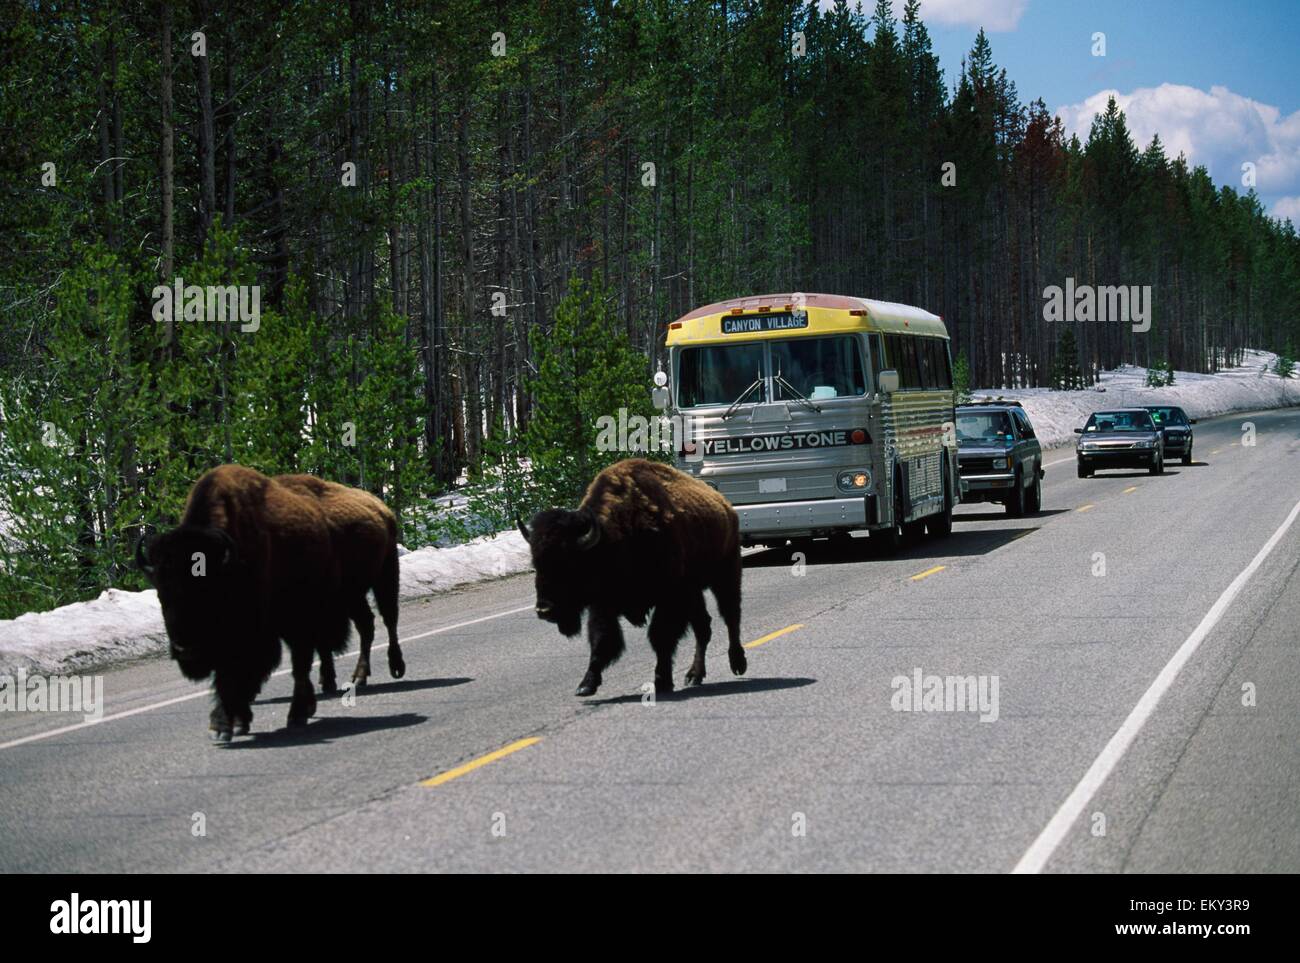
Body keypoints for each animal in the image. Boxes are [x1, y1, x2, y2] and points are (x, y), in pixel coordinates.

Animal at [136, 465, 404, 741]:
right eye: (161, 596)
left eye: (206, 594)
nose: (184, 649)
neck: (229, 564)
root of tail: (380, 508)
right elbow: (230, 672)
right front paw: (230, 722)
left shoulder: (255, 630)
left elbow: (241, 669)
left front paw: (224, 724)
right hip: (350, 596)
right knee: (363, 626)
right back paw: (348, 682)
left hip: (382, 576)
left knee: (386, 620)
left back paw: (390, 669)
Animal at [520, 458, 745, 696]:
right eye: (535, 564)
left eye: (568, 564)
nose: (544, 610)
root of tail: (726, 506)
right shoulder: (604, 604)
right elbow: (602, 639)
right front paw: (586, 684)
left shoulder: (669, 598)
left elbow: (660, 637)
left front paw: (662, 681)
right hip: (694, 593)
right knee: (703, 628)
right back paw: (694, 675)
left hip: (726, 575)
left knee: (730, 616)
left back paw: (737, 662)